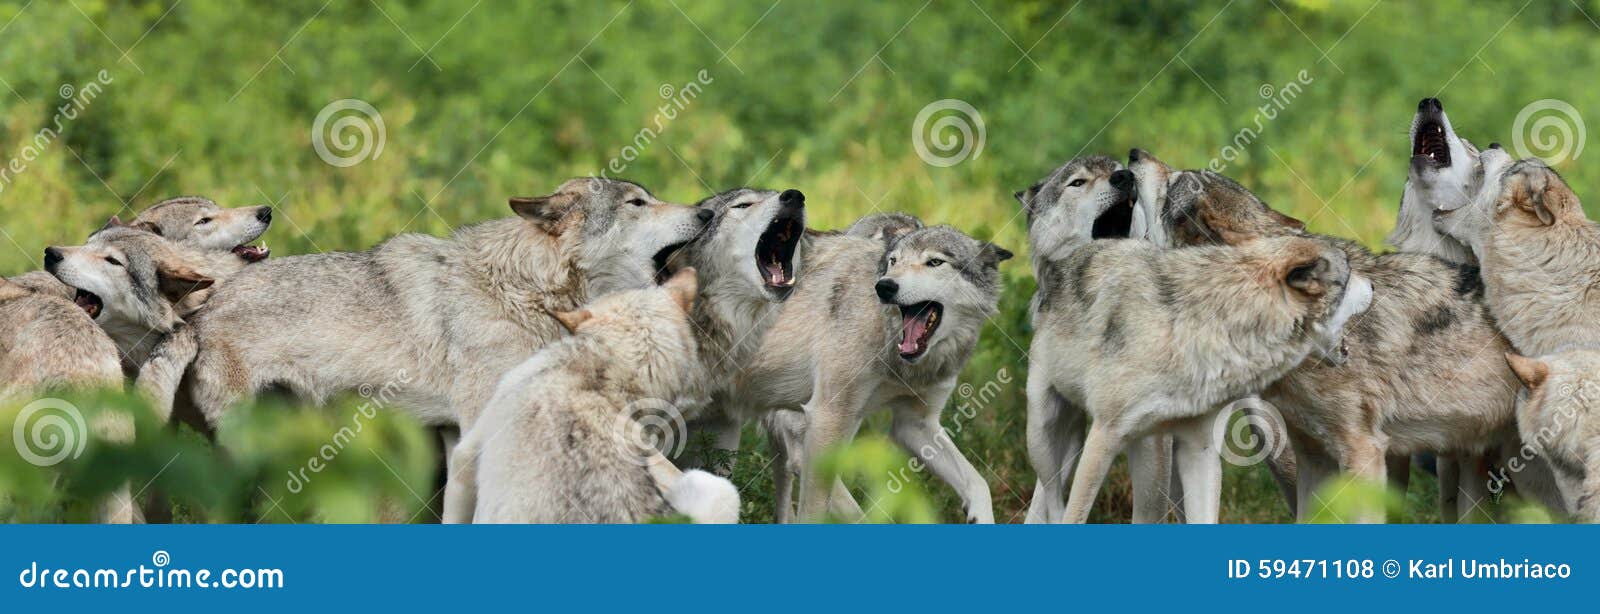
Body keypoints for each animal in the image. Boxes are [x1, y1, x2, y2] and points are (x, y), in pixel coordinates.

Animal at [1020, 155, 1370, 524]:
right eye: (1078, 182)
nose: (1126, 169)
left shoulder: (1178, 446)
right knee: (1050, 490)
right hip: (1046, 432)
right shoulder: (1113, 437)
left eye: (1115, 170)